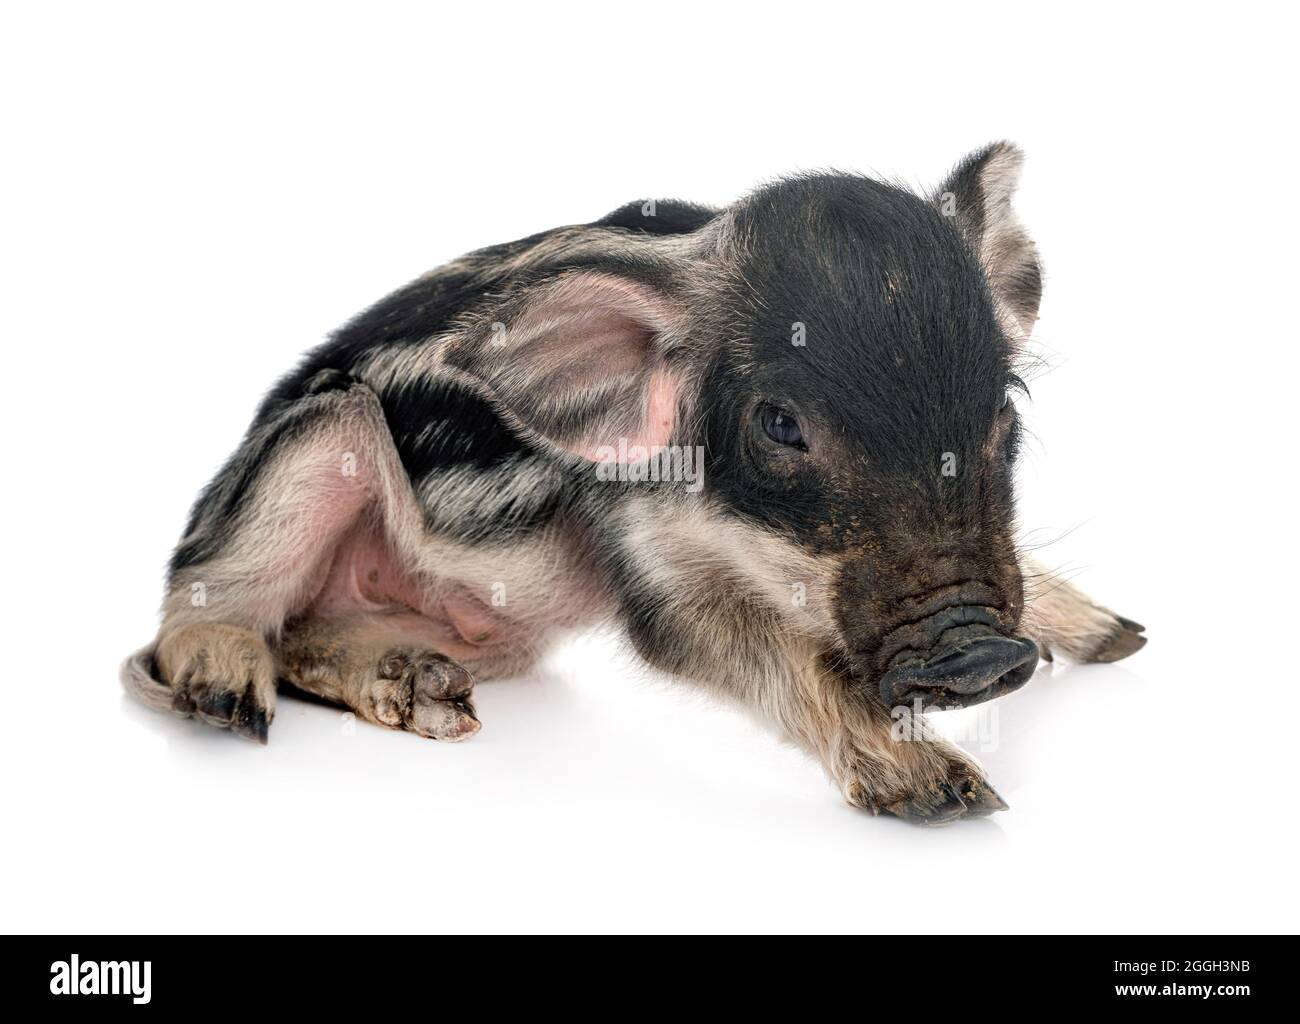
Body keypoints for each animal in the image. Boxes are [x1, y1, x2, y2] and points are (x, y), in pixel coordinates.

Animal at [122, 141, 1145, 824]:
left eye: (1003, 409)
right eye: (782, 426)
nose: (980, 654)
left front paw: (1121, 641)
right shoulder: (647, 565)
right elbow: (767, 654)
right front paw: (952, 797)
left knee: (308, 637)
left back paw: (433, 694)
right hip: (305, 452)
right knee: (209, 617)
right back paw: (231, 699)